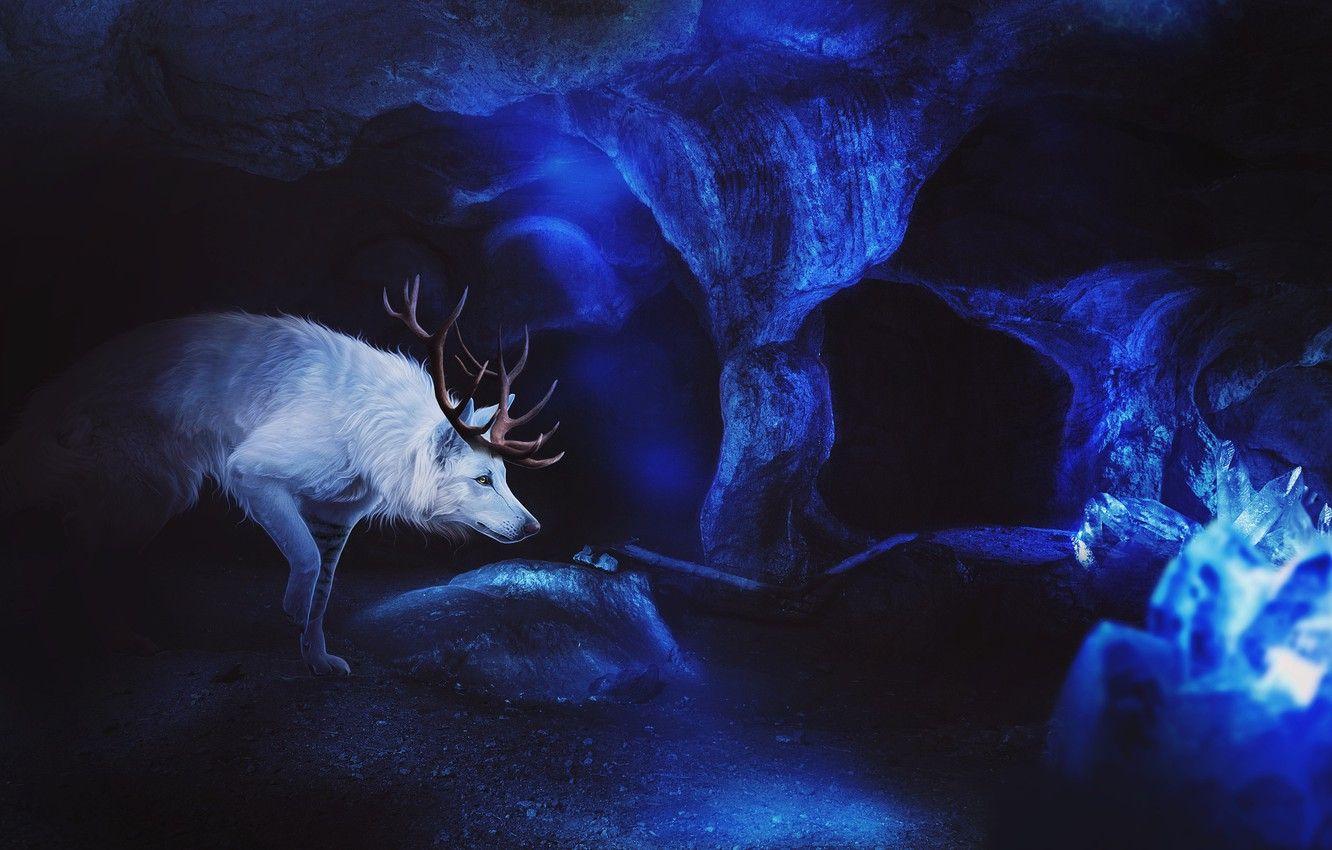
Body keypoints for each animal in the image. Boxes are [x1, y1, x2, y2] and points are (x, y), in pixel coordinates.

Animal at [0, 278, 562, 675]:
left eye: (505, 478)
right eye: (482, 481)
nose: (536, 528)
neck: (374, 430)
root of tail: (46, 405)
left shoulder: (337, 519)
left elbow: (325, 588)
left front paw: (316, 659)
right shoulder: (251, 472)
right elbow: (306, 562)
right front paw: (292, 610)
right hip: (147, 496)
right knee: (83, 553)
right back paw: (111, 640)